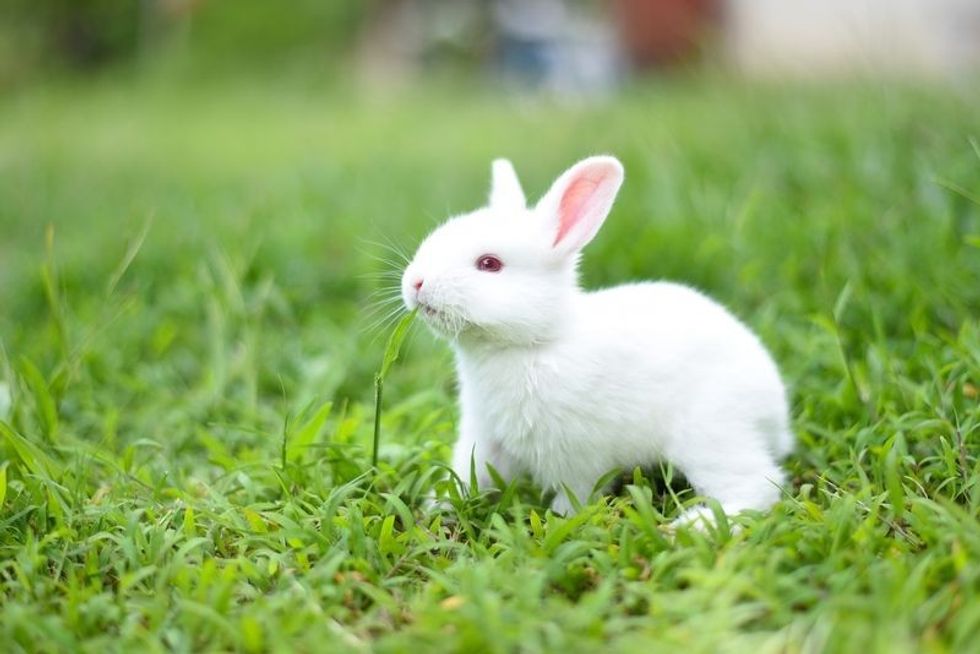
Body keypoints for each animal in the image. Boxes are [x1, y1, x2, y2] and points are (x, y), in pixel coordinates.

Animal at [401, 155, 793, 526]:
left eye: (489, 264)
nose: (416, 282)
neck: (533, 343)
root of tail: (776, 410)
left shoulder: (578, 456)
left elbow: (575, 494)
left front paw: (560, 519)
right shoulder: (485, 438)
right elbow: (468, 476)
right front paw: (437, 508)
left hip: (708, 433)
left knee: (757, 487)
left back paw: (690, 526)